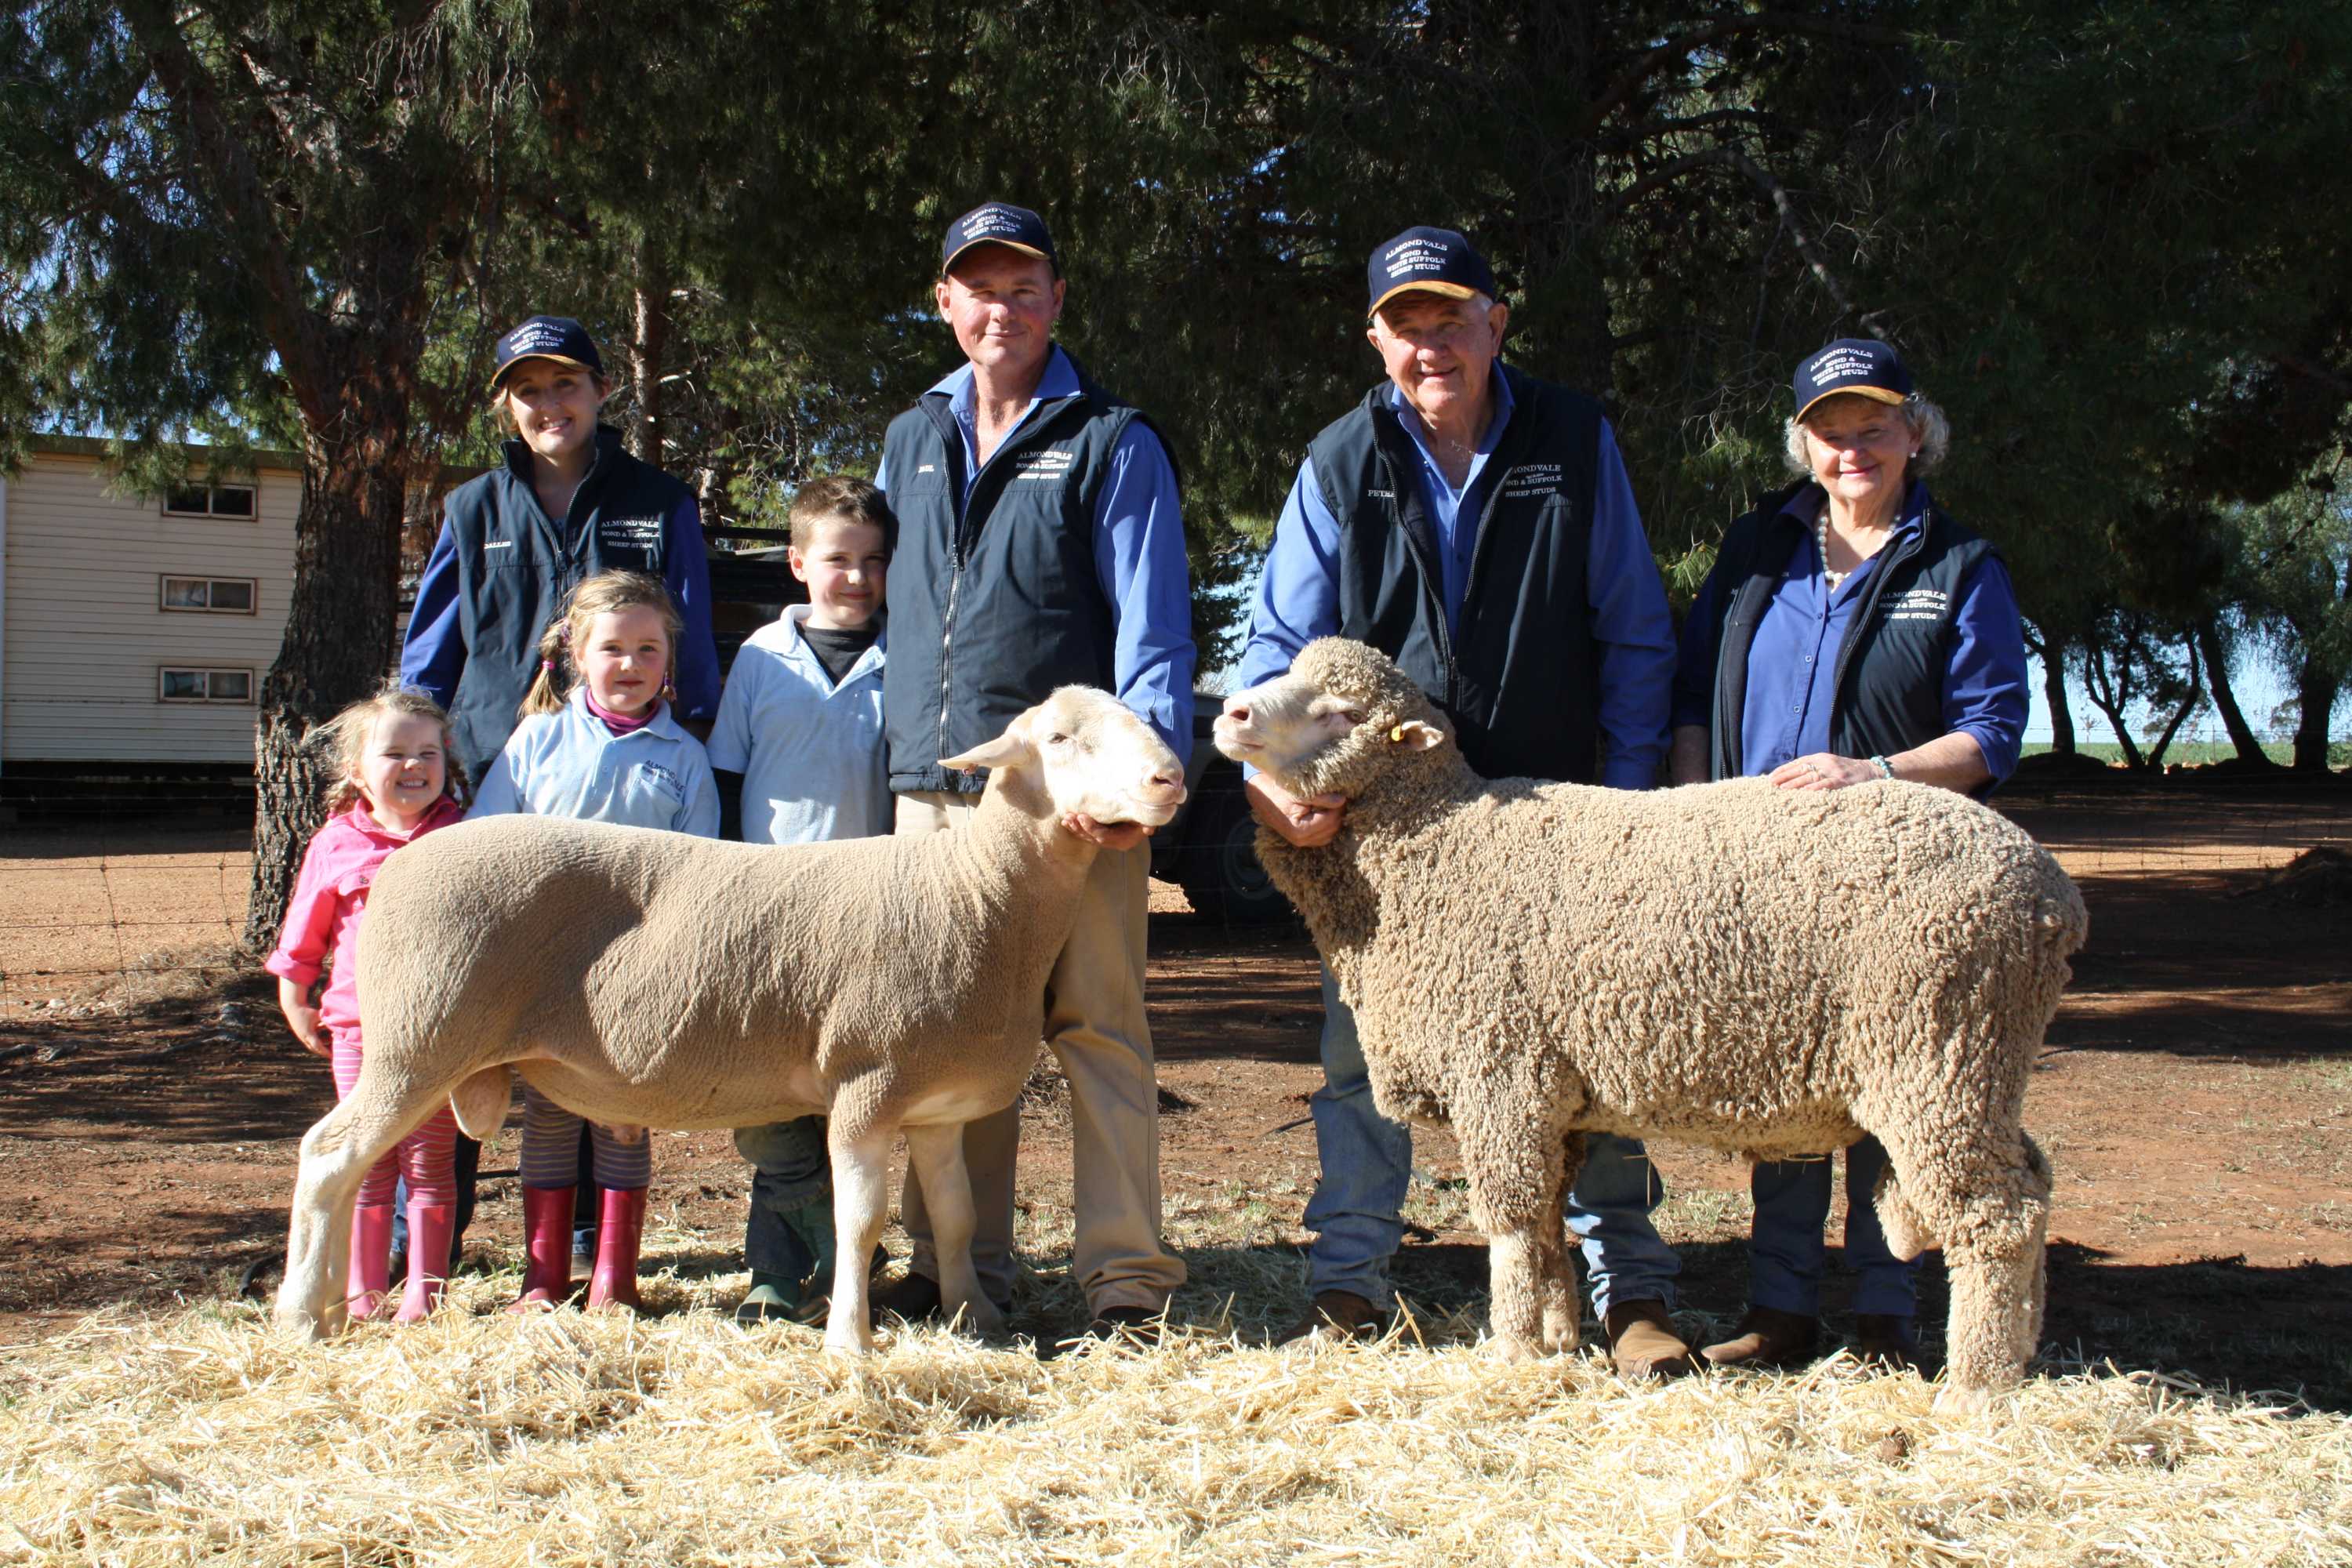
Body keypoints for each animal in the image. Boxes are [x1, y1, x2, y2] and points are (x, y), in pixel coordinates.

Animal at [273, 686, 1186, 1355]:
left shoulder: (935, 1107)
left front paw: (977, 1318)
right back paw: (300, 1316)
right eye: (1061, 738)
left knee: (350, 1168)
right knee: (326, 1157)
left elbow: (956, 1217)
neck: (974, 890)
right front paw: (851, 1344)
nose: (1169, 779)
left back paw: (333, 1308)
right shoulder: (865, 1083)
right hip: (417, 1042)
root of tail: (401, 868)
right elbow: (860, 1221)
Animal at [1214, 637, 2086, 1398]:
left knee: (1996, 1215)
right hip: (1985, 1058)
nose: (1230, 712)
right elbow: (1546, 1228)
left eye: (1343, 711)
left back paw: (1974, 1389)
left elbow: (1510, 1223)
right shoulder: (1552, 1096)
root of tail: (2053, 897)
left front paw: (1513, 1350)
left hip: (1938, 1048)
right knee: (2034, 1183)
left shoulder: (1500, 1069)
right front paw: (1560, 1336)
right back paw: (2020, 1353)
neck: (1438, 843)